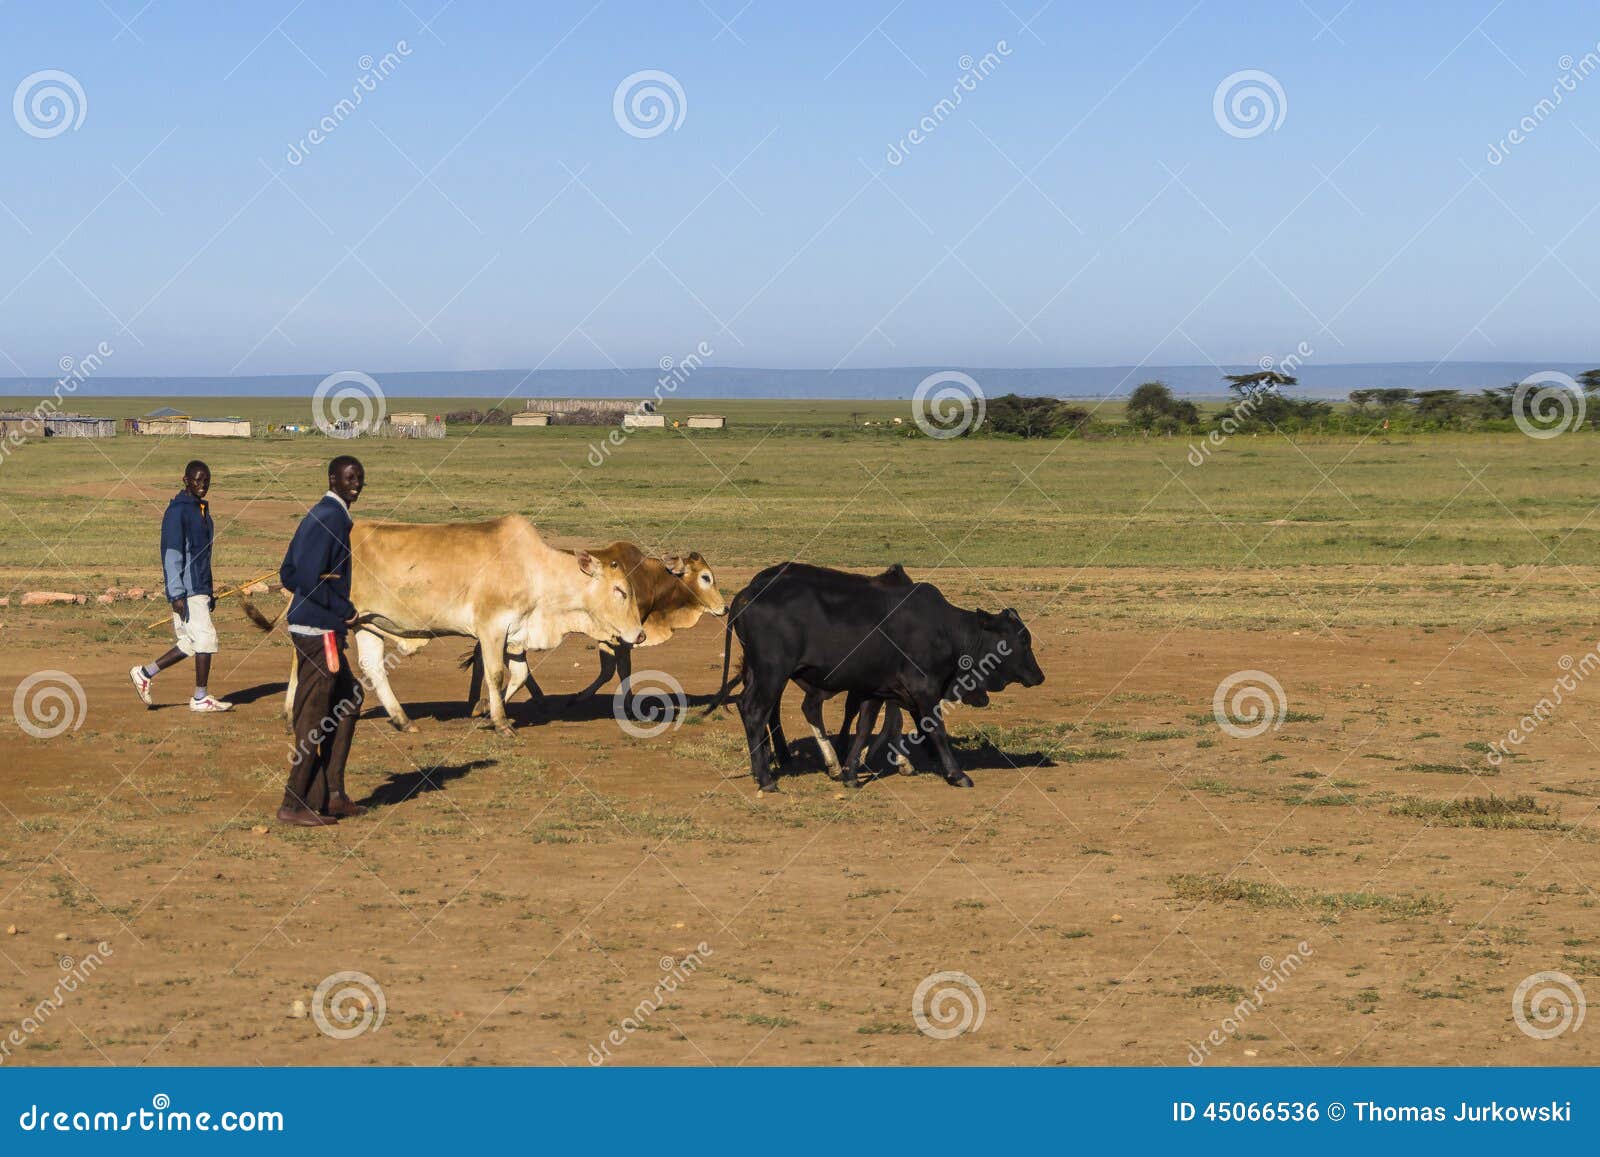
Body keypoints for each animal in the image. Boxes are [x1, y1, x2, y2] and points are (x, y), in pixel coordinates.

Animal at [252, 517, 647, 734]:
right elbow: (495, 674)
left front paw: (485, 712)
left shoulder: (515, 633)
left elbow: (518, 676)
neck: (535, 571)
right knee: (301, 658)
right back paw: (290, 715)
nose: (639, 633)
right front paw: (499, 721)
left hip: (364, 622)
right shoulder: (491, 629)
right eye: (619, 590)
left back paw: (402, 719)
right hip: (323, 615)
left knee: (373, 667)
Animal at [461, 549, 726, 715]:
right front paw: (628, 705)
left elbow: (608, 670)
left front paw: (579, 697)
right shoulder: (624, 636)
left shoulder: (611, 637)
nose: (724, 608)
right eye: (706, 577)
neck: (649, 580)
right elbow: (621, 669)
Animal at [715, 563, 1044, 789]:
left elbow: (868, 727)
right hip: (772, 673)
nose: (1039, 675)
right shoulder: (923, 688)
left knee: (755, 708)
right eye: (1022, 640)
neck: (945, 630)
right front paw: (955, 773)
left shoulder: (876, 691)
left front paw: (854, 769)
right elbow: (932, 728)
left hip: (762, 674)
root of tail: (748, 593)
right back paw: (767, 776)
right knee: (757, 712)